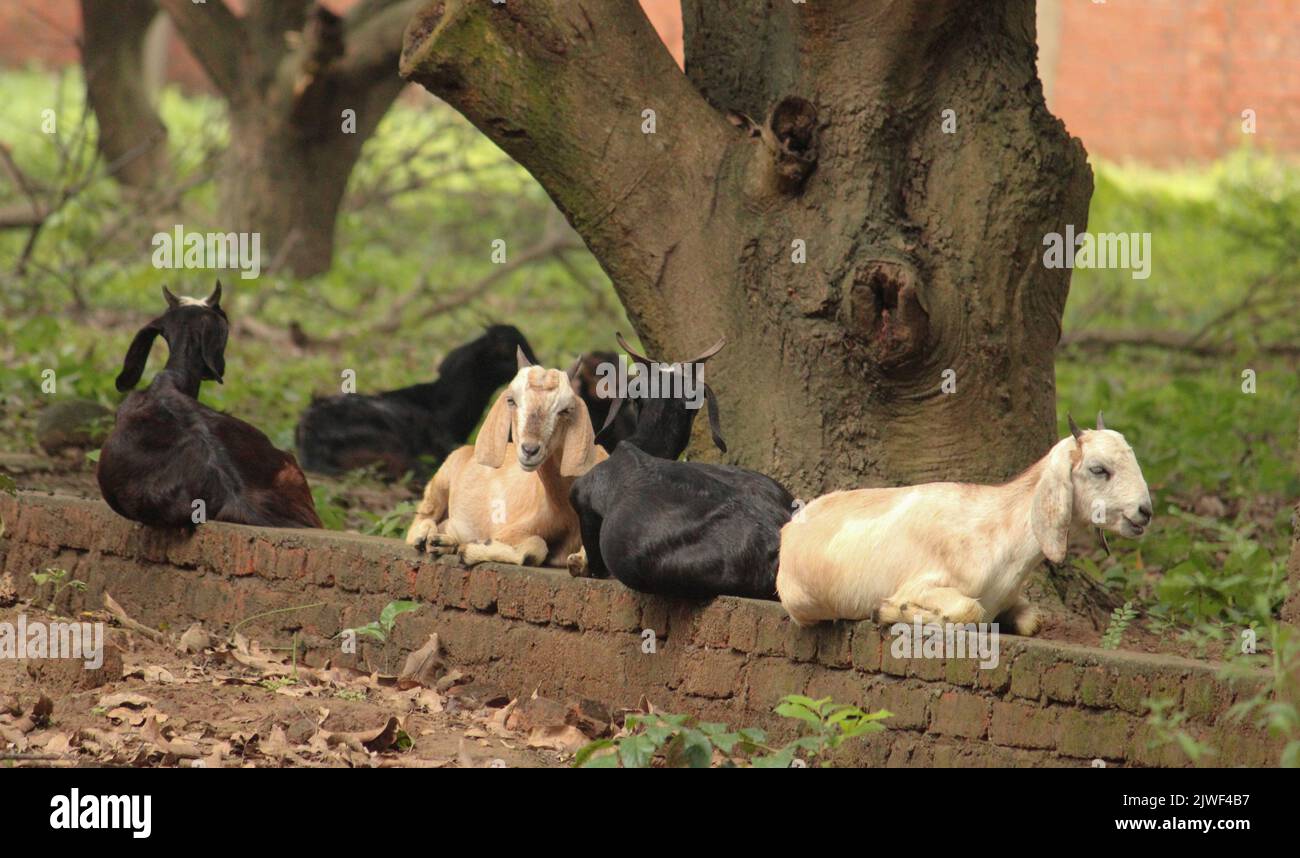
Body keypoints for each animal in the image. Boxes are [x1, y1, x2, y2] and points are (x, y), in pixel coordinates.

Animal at [404, 350, 605, 566]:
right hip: (439, 485)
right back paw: (425, 538)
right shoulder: (510, 531)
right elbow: (536, 547)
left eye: (565, 409)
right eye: (511, 400)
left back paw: (442, 542)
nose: (529, 449)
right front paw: (471, 550)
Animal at [775, 414, 1153, 634]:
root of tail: (790, 528)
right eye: (1098, 469)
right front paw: (890, 610)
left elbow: (1033, 621)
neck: (1000, 534)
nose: (1145, 511)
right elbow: (971, 610)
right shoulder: (922, 584)